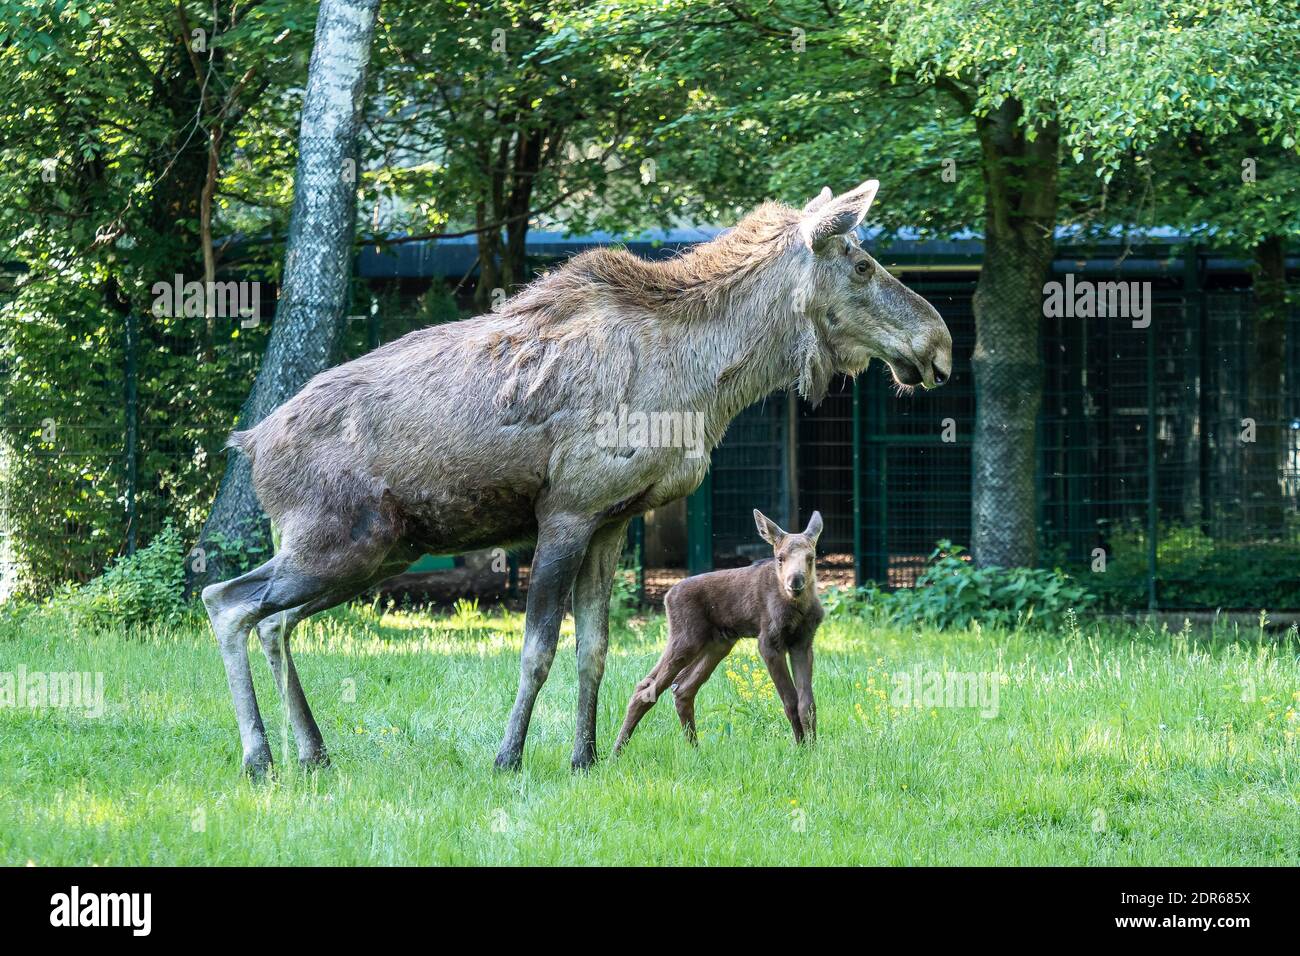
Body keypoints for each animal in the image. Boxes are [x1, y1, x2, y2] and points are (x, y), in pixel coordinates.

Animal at [613, 510, 824, 754]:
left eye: (811, 557)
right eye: (780, 558)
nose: (795, 581)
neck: (797, 608)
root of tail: (667, 597)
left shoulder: (803, 642)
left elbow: (807, 703)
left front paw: (811, 750)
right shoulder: (768, 642)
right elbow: (789, 700)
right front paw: (800, 748)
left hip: (717, 644)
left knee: (682, 688)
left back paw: (695, 749)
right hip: (686, 639)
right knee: (645, 689)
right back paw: (615, 753)